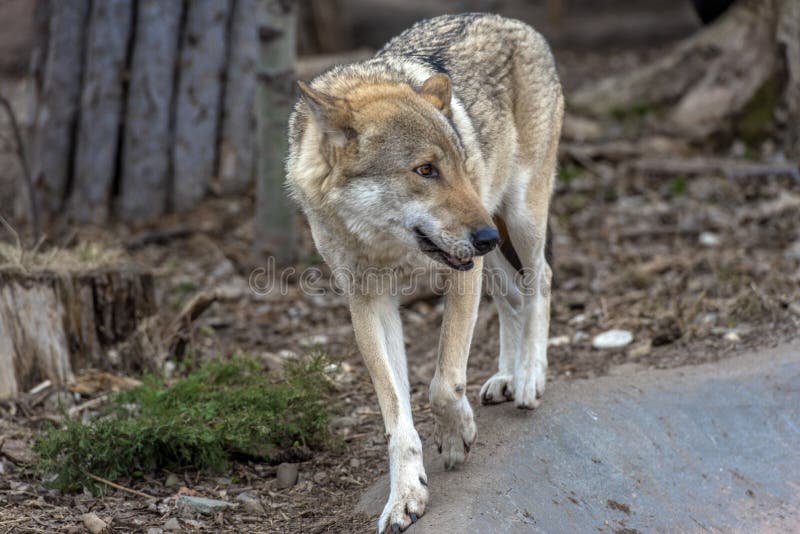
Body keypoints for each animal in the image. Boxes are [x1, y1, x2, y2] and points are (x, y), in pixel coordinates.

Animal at [286, 13, 563, 533]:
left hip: (517, 219)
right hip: (494, 247)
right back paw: (506, 376)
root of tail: (513, 21)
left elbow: (441, 383)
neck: (389, 247)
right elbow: (396, 418)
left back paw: (529, 379)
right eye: (425, 170)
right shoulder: (368, 302)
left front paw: (457, 436)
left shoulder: (463, 274)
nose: (483, 236)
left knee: (542, 280)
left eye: (458, 165)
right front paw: (405, 497)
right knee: (512, 296)